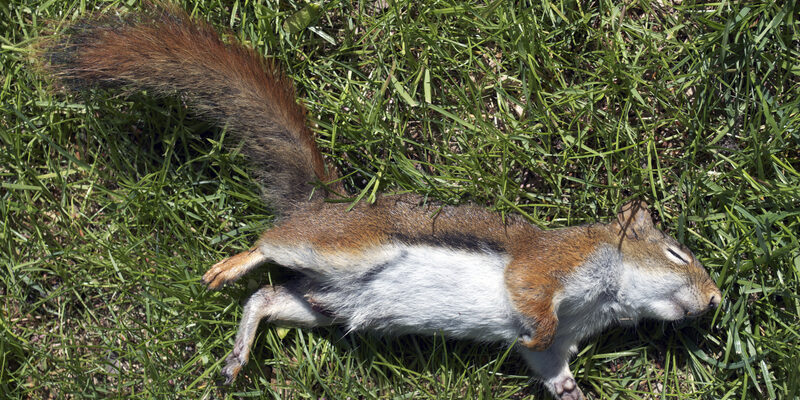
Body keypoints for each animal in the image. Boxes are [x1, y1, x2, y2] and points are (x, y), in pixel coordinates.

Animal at [39, 4, 722, 400]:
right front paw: (536, 327)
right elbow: (533, 304)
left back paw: (236, 357)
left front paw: (573, 393)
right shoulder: (547, 266)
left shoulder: (558, 351)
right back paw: (229, 268)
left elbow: (550, 365)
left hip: (321, 303)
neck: (604, 293)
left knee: (266, 298)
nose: (716, 299)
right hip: (334, 250)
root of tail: (324, 206)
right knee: (267, 244)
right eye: (676, 253)